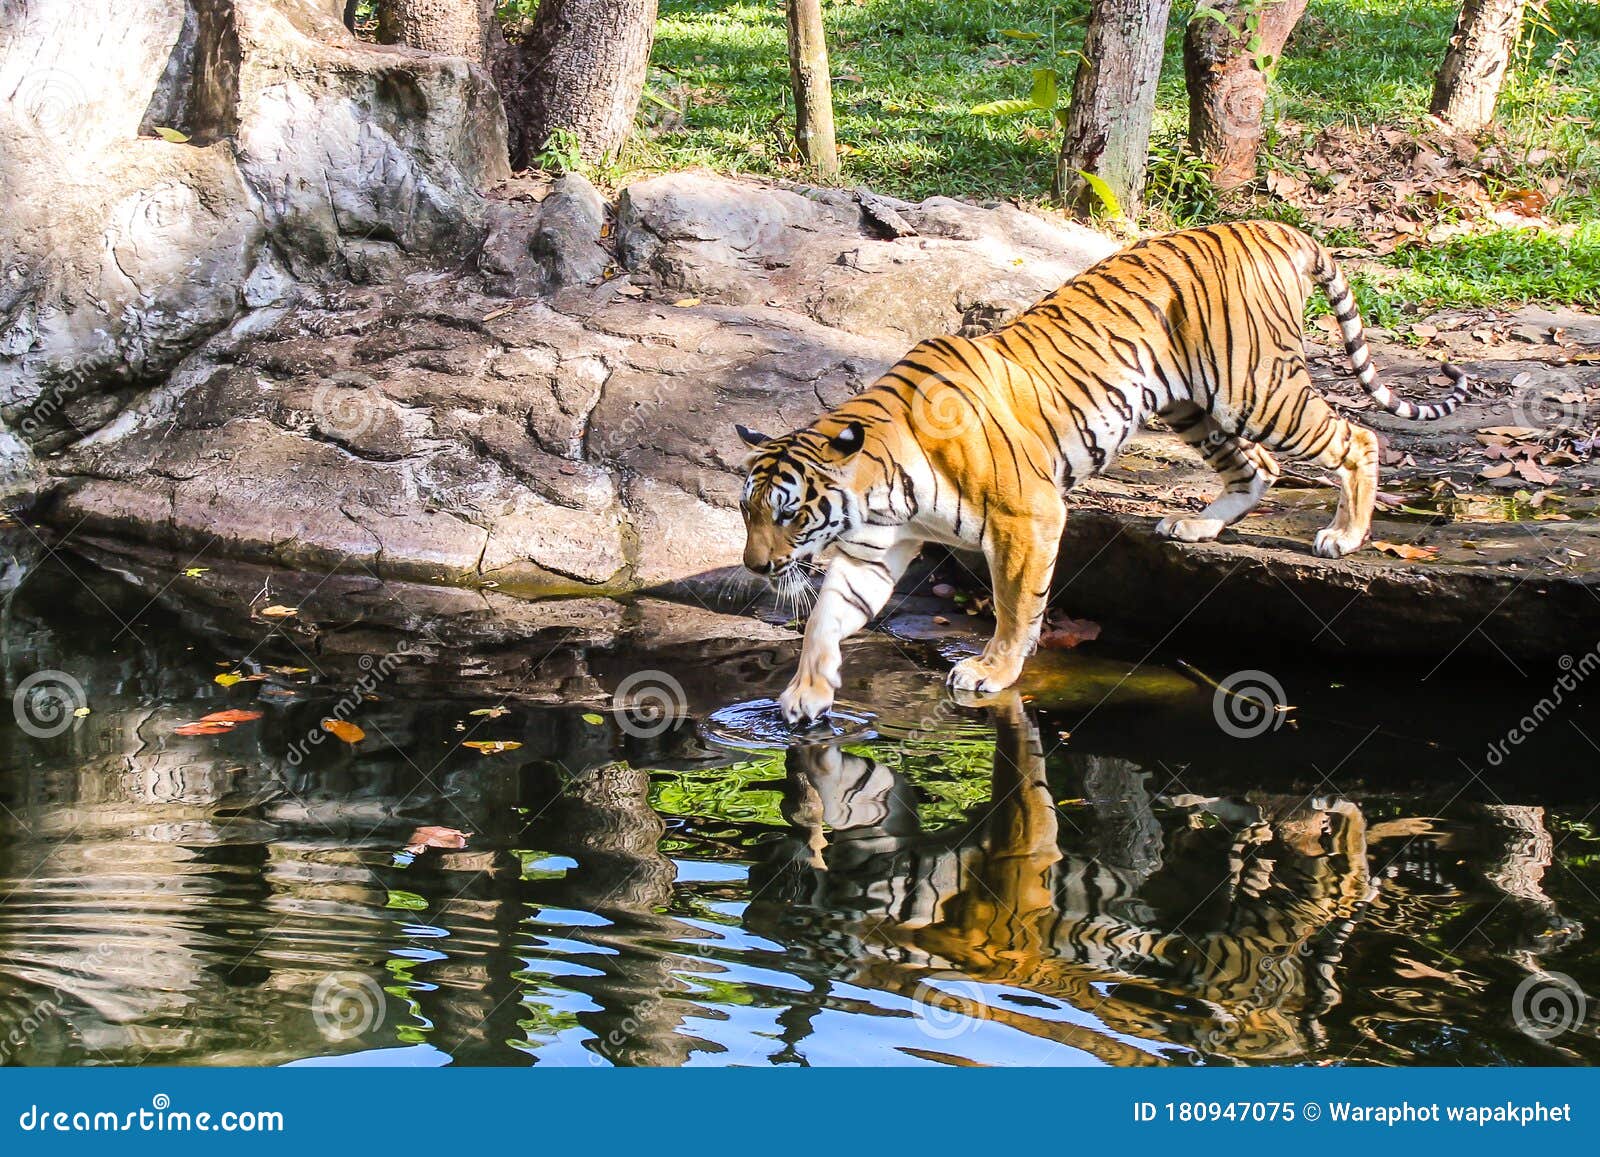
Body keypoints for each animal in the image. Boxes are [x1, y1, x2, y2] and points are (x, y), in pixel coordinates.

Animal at [736, 220, 1470, 724]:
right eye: (748, 511)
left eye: (790, 512)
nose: (755, 567)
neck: (879, 489)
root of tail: (1274, 226)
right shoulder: (873, 551)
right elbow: (826, 617)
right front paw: (803, 695)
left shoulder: (1026, 518)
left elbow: (1014, 605)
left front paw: (991, 671)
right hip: (1192, 406)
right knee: (1256, 467)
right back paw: (1195, 527)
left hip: (1257, 389)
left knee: (1357, 437)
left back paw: (1344, 535)